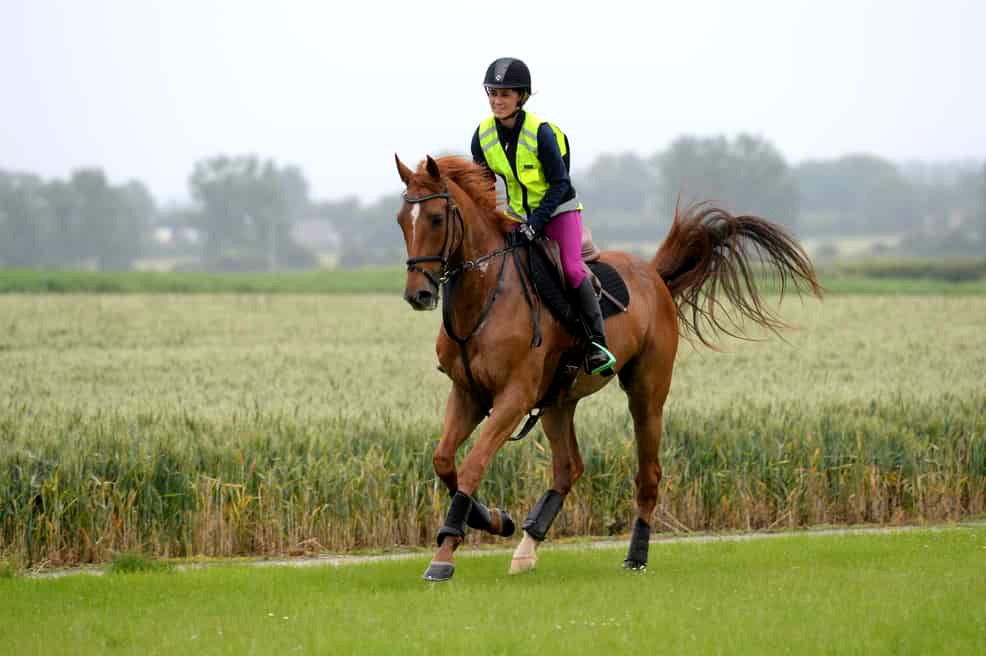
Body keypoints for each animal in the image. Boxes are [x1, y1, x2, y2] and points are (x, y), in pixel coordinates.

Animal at [394, 153, 821, 581]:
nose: (418, 295)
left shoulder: (513, 398)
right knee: (568, 468)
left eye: (436, 218)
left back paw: (636, 555)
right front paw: (495, 519)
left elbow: (471, 466)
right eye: (401, 220)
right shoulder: (468, 393)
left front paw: (443, 557)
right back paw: (527, 548)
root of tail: (653, 275)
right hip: (558, 401)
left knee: (647, 474)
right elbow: (444, 461)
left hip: (646, 394)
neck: (486, 296)